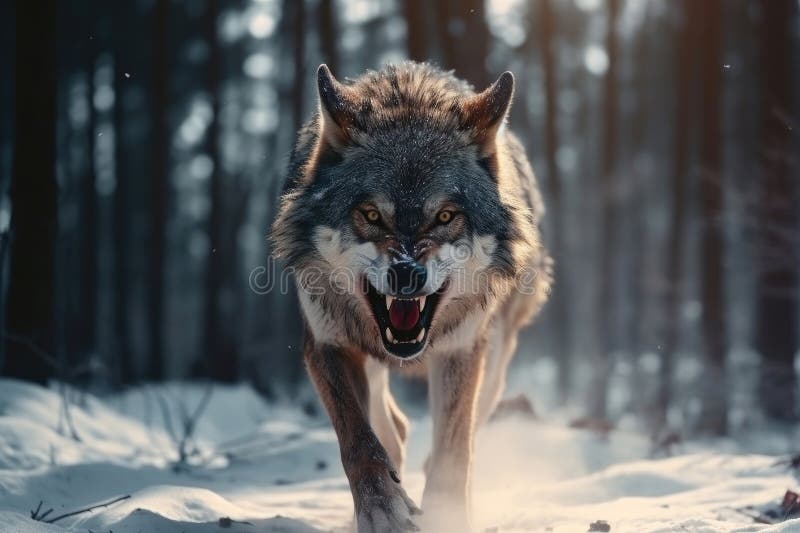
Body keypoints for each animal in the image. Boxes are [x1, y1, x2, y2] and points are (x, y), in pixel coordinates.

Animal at [271, 62, 551, 532]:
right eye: (370, 215)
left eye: (445, 216)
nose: (406, 274)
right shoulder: (327, 345)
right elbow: (360, 444)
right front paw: (383, 510)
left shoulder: (461, 350)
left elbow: (454, 451)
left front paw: (446, 516)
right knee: (395, 431)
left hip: (494, 362)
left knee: (457, 437)